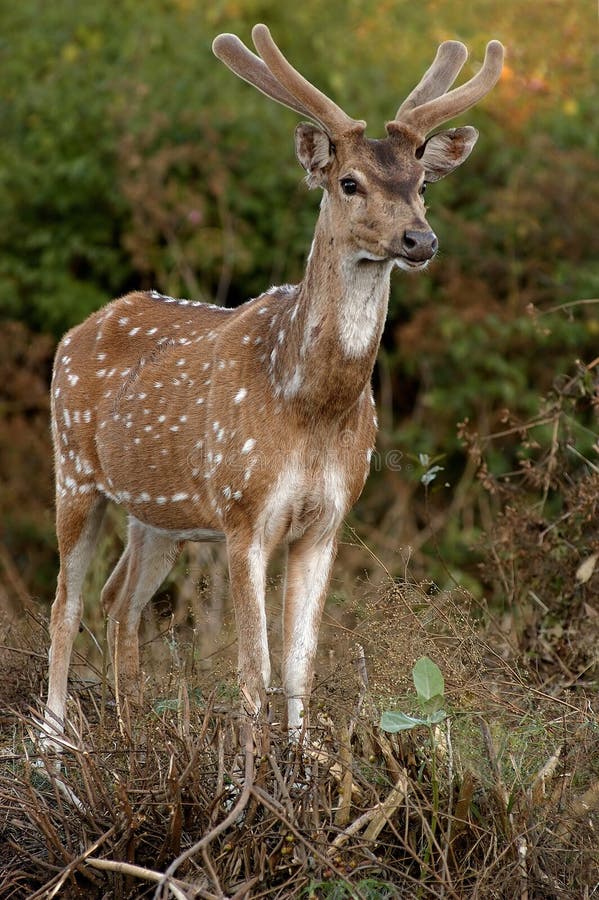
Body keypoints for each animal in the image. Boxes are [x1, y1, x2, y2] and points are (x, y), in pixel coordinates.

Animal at [43, 24, 503, 745]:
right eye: (349, 181)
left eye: (422, 183)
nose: (419, 239)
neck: (311, 406)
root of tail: (78, 329)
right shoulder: (243, 511)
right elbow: (253, 668)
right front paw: (251, 769)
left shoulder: (328, 518)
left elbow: (299, 663)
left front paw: (302, 761)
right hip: (74, 470)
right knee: (64, 603)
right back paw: (52, 749)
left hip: (158, 515)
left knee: (119, 600)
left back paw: (132, 726)